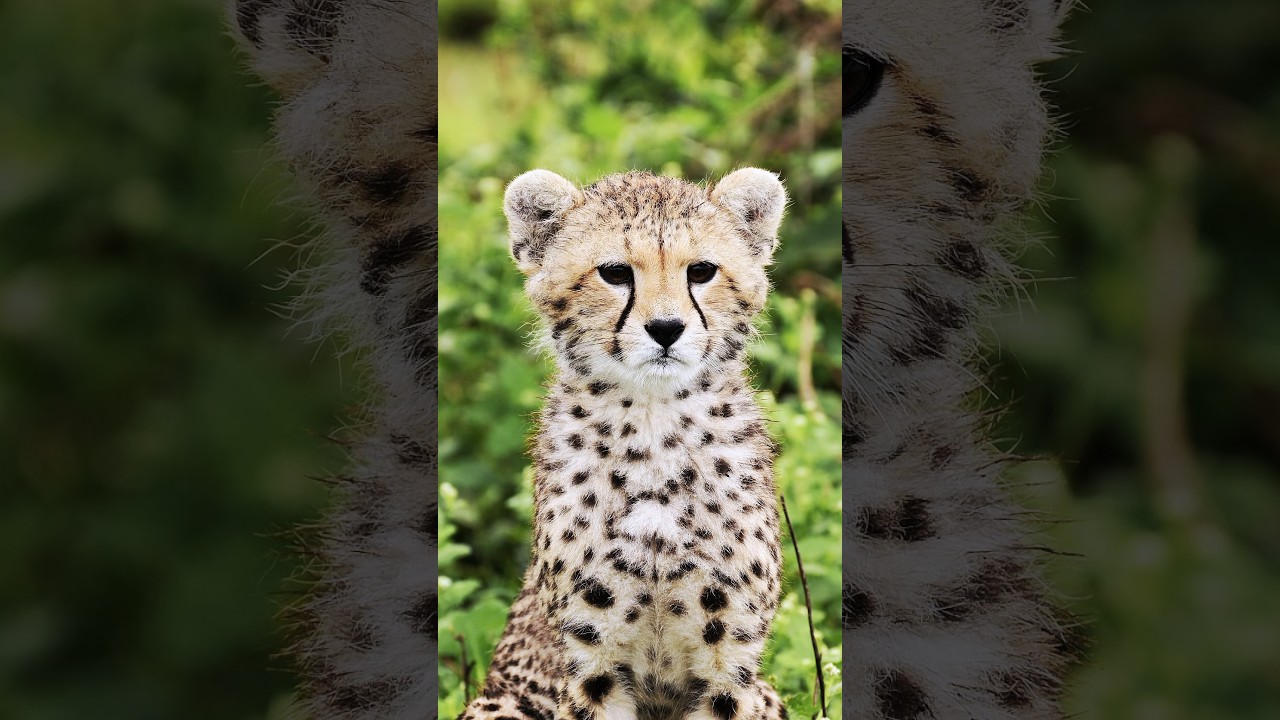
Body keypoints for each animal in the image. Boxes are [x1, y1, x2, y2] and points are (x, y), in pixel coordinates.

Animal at [456, 168, 791, 720]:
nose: (666, 329)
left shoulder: (730, 665)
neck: (653, 425)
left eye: (701, 271)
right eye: (614, 273)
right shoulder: (593, 664)